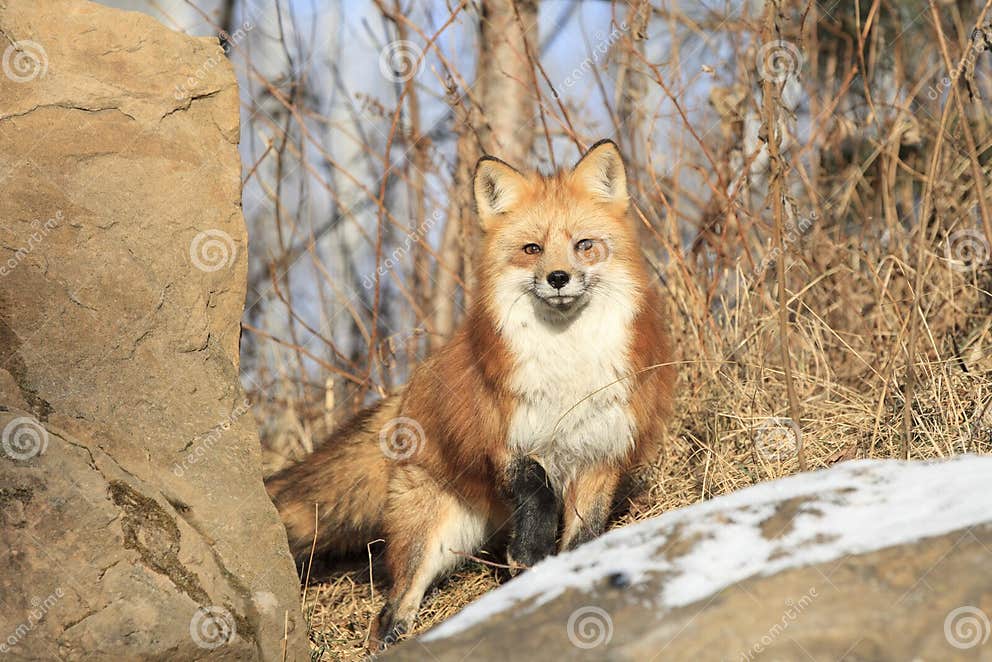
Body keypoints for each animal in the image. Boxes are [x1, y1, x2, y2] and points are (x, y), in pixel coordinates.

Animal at [265, 139, 675, 650]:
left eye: (584, 245)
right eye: (532, 249)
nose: (558, 278)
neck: (567, 365)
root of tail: (407, 397)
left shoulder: (601, 452)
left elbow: (584, 534)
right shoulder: (502, 441)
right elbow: (538, 491)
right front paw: (530, 555)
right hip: (429, 539)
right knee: (394, 606)